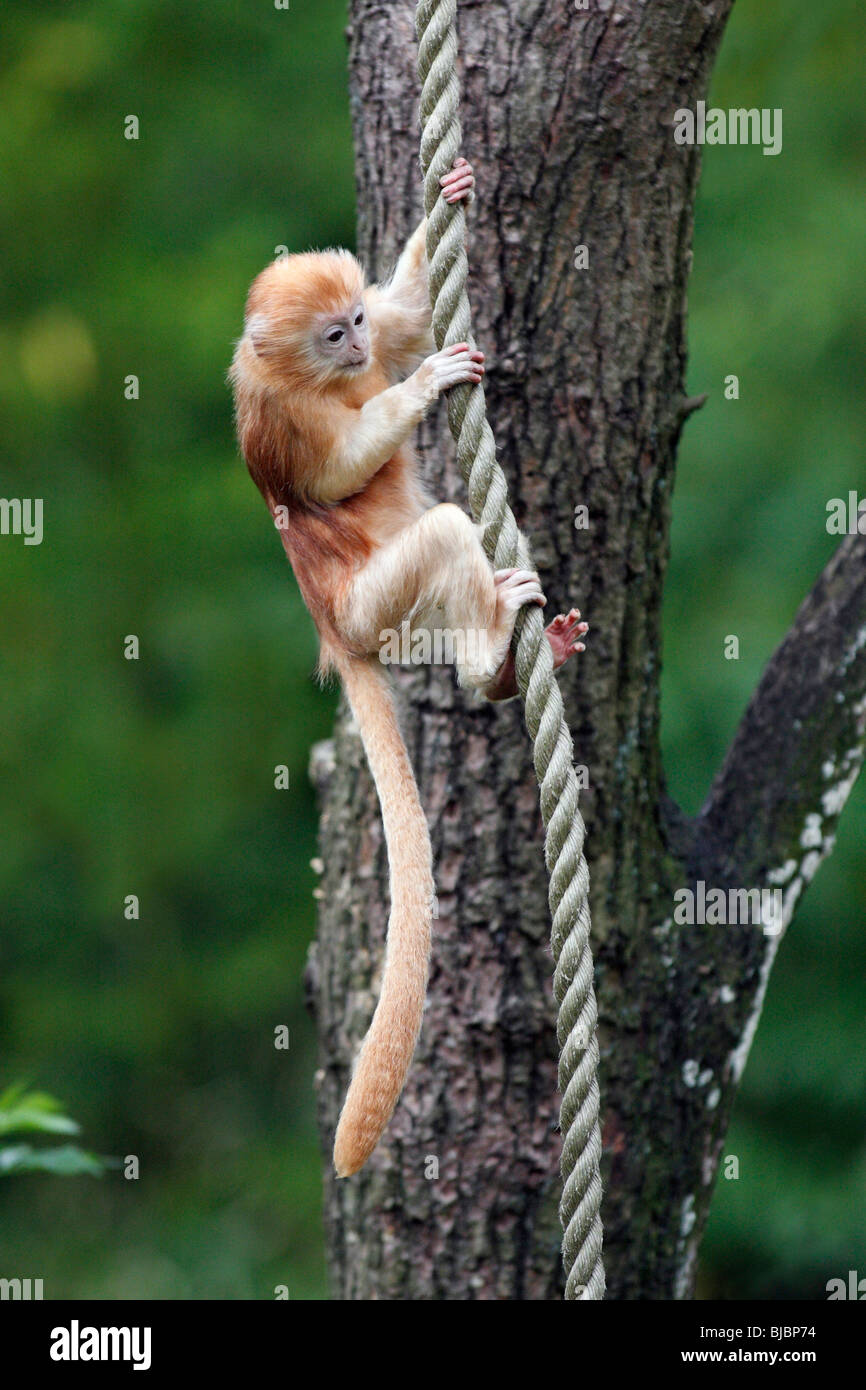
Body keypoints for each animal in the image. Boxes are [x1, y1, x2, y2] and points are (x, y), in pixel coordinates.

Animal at [229, 157, 588, 1178]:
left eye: (353, 319)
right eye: (330, 332)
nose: (355, 347)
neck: (305, 374)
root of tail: (332, 630)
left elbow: (411, 309)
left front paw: (460, 185)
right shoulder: (277, 415)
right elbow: (336, 472)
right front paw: (424, 382)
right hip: (373, 600)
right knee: (448, 530)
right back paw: (489, 666)